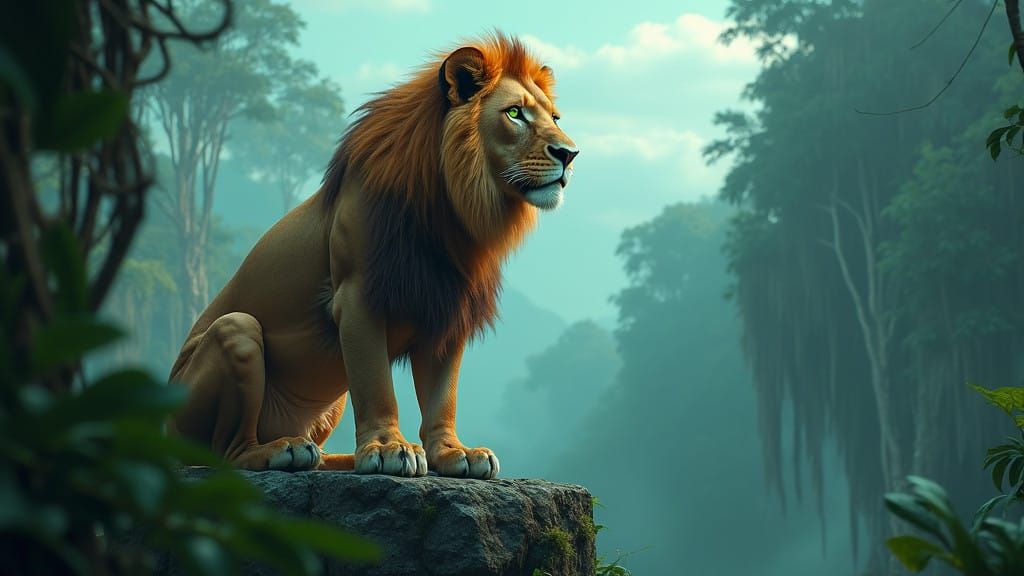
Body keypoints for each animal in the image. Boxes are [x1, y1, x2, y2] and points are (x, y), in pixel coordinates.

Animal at [167, 34, 578, 478]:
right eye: (515, 113)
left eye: (555, 117)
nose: (569, 153)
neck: (452, 213)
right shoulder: (358, 297)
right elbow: (376, 385)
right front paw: (386, 448)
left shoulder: (448, 306)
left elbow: (442, 396)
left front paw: (452, 453)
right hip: (235, 333)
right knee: (227, 450)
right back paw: (282, 450)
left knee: (309, 449)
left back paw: (330, 459)